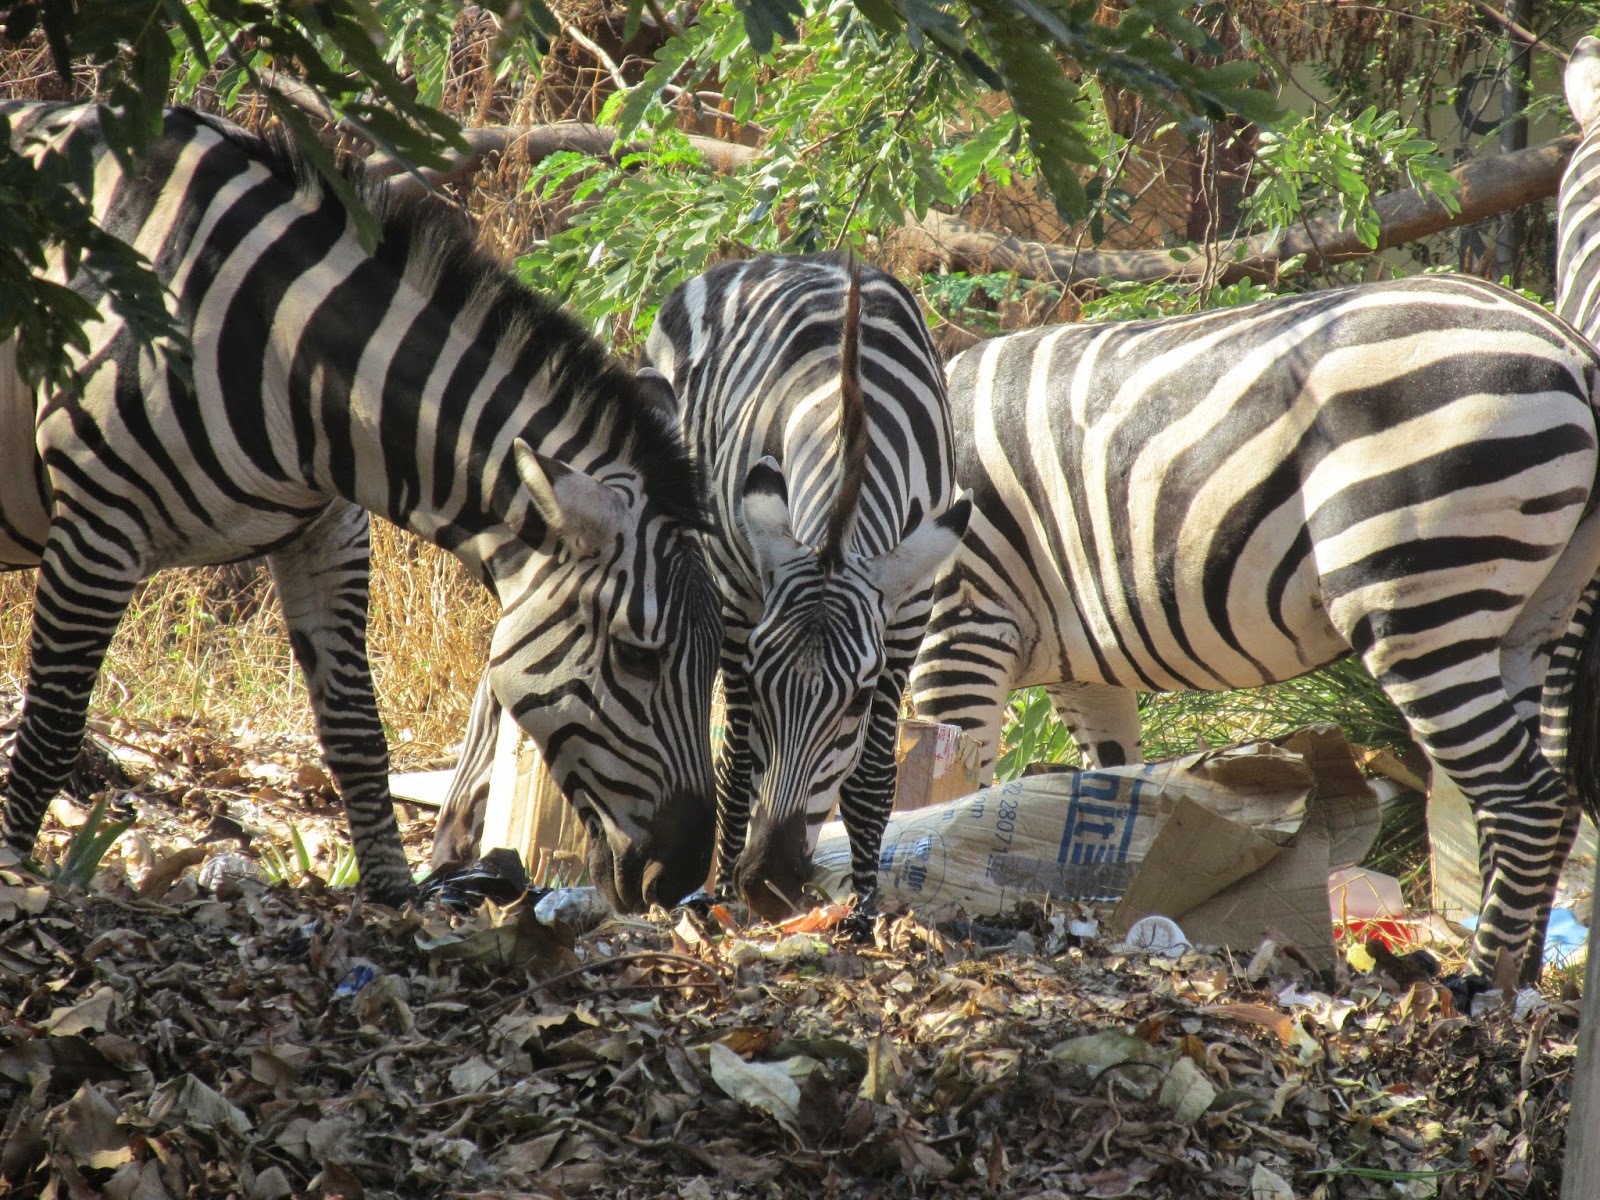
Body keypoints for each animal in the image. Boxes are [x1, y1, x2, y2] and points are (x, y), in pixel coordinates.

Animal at [0, 102, 721, 912]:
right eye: (635, 656)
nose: (682, 878)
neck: (286, 346)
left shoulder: (326, 530)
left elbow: (355, 729)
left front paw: (392, 898)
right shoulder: (99, 522)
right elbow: (53, 726)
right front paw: (16, 880)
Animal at [640, 253, 969, 918]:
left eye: (858, 701)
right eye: (764, 682)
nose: (767, 884)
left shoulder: (908, 610)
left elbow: (871, 777)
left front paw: (864, 911)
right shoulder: (744, 604)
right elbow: (739, 760)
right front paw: (728, 896)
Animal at [905, 265, 1600, 985]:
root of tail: (1569, 347)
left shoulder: (960, 628)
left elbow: (941, 795)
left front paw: (915, 914)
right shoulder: (1081, 674)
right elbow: (1110, 785)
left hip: (1418, 596)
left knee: (1526, 801)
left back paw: (1478, 984)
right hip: (1534, 612)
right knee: (1551, 800)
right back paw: (1522, 978)